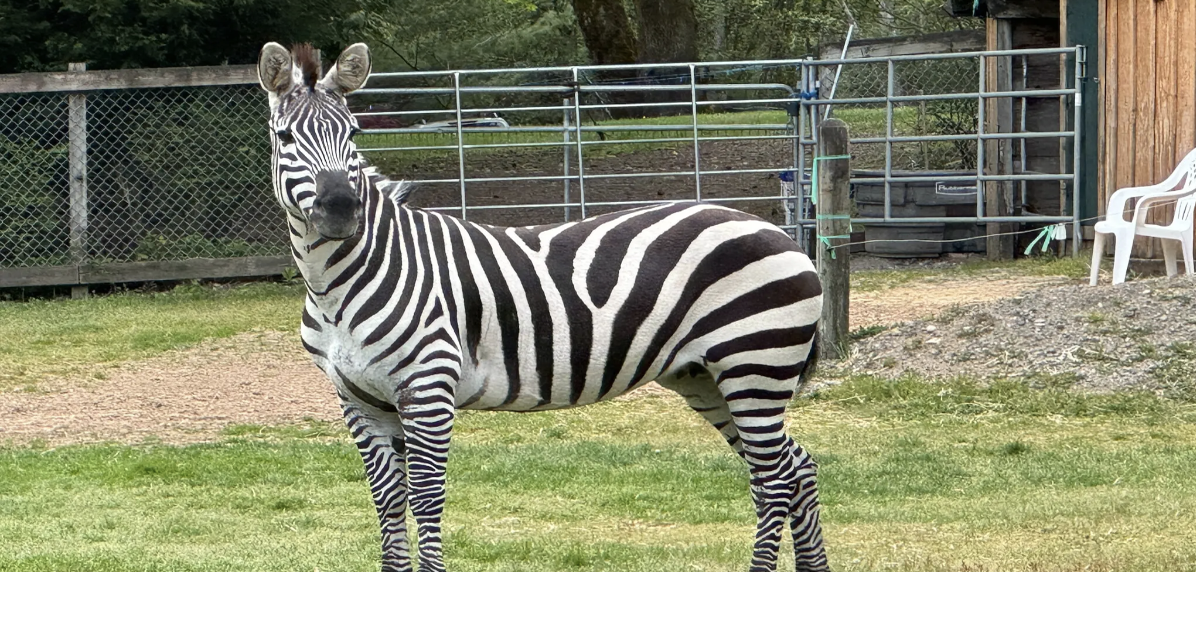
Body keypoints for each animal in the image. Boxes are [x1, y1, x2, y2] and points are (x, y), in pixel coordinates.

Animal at [257, 41, 827, 572]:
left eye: (353, 134)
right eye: (284, 138)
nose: (341, 211)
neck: (335, 287)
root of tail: (778, 230)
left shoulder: (427, 386)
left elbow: (426, 497)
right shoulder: (358, 400)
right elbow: (388, 502)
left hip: (753, 363)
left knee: (775, 478)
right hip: (704, 375)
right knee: (795, 467)